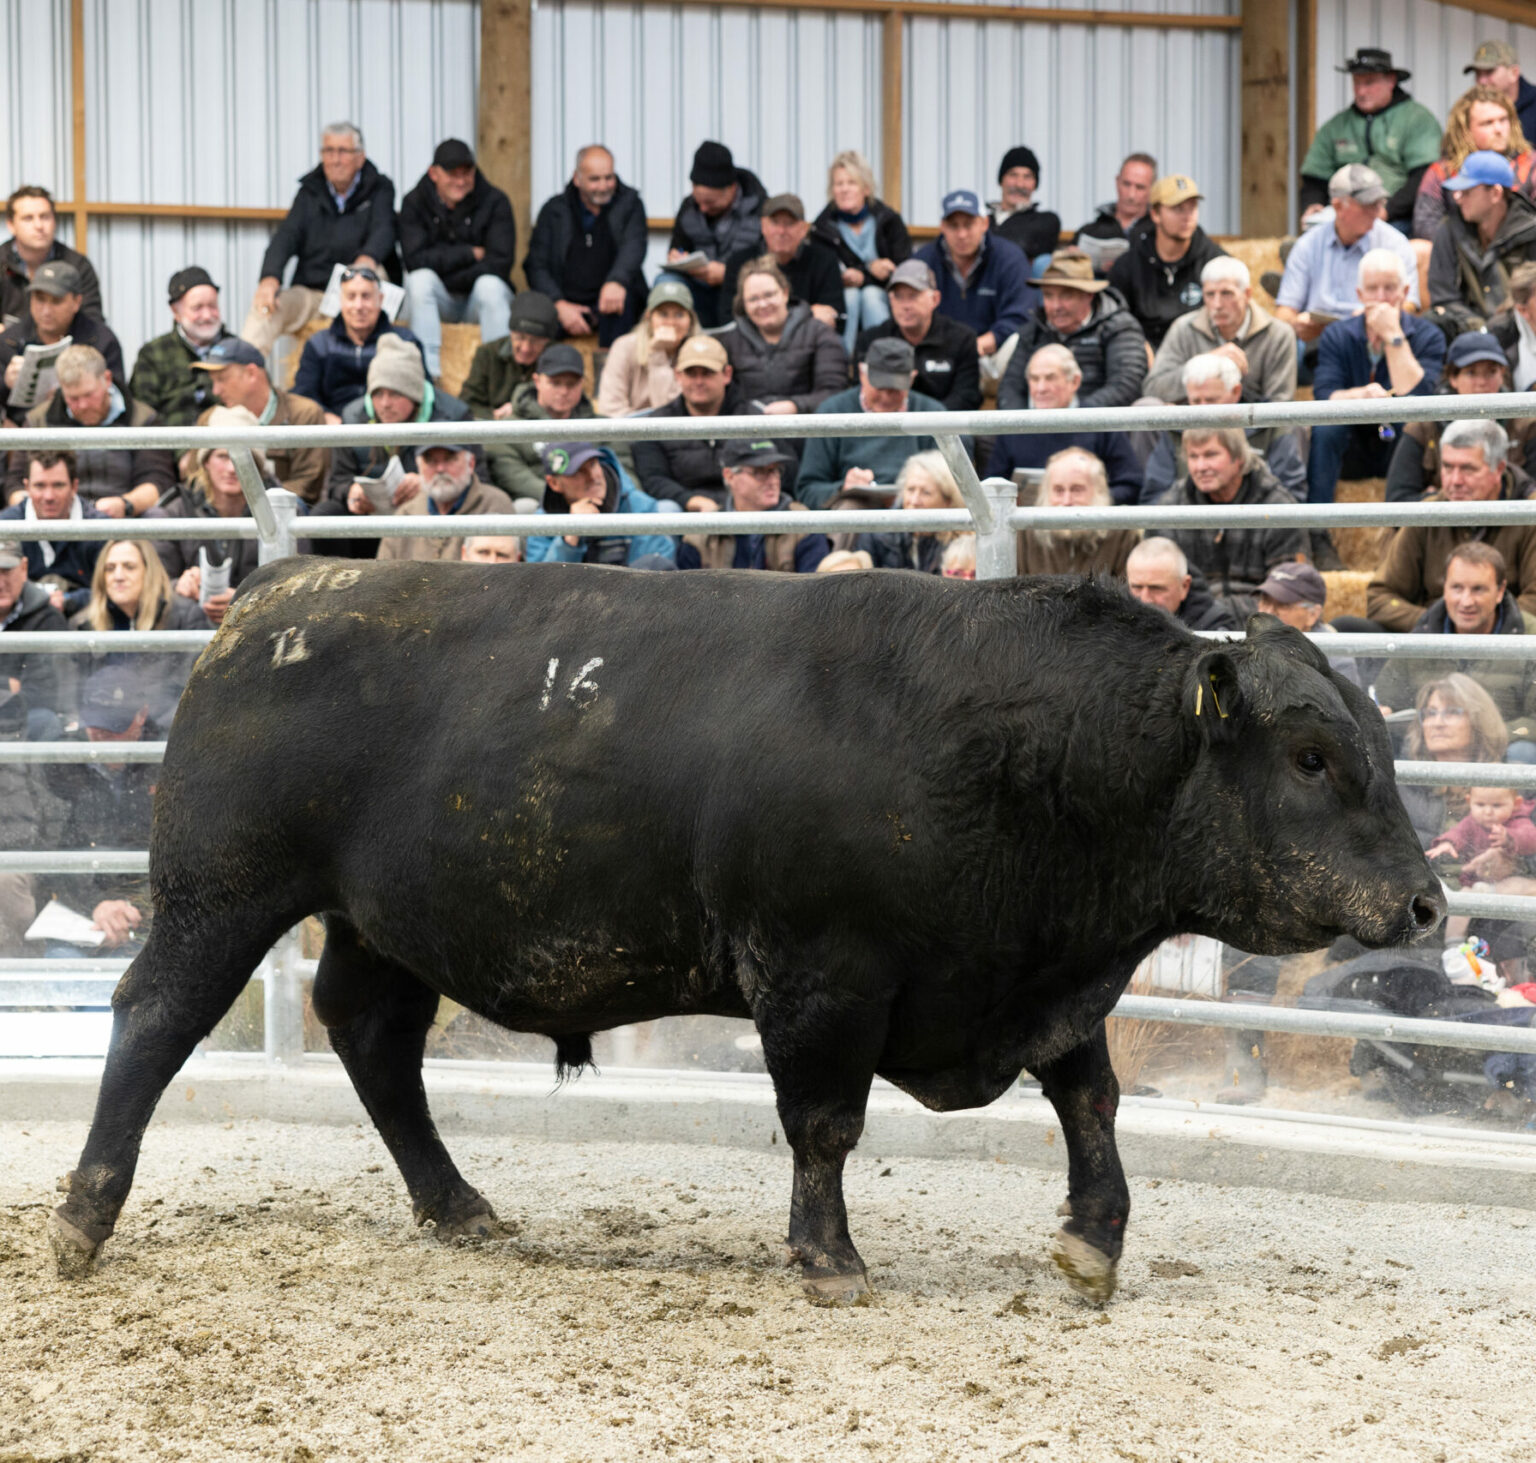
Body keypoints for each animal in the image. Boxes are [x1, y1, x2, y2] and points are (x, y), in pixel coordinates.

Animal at [50, 560, 1443, 1303]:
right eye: (1312, 755)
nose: (1427, 903)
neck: (1000, 741)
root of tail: (277, 595)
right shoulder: (820, 979)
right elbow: (824, 1122)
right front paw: (829, 1256)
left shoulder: (1041, 975)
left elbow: (1089, 1097)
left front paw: (1092, 1240)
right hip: (221, 891)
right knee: (155, 1020)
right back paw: (83, 1215)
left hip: (374, 924)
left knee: (374, 1040)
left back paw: (459, 1204)